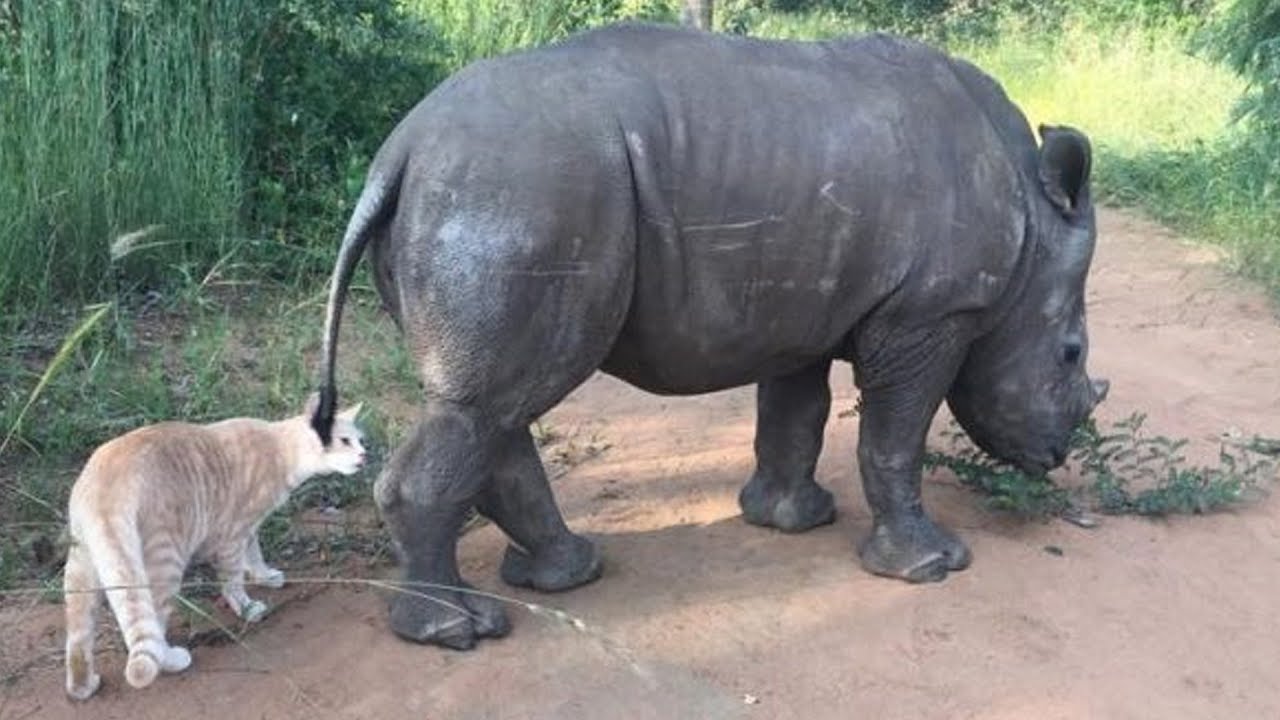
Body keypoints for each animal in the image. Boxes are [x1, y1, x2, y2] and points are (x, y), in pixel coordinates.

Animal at [312, 22, 1109, 649]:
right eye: (1069, 353)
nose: (1053, 455)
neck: (1034, 217)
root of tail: (403, 147)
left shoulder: (806, 298)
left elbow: (795, 414)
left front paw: (790, 520)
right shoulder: (931, 314)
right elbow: (895, 436)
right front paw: (933, 566)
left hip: (492, 192)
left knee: (492, 405)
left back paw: (561, 576)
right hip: (516, 191)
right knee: (490, 402)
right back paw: (457, 633)